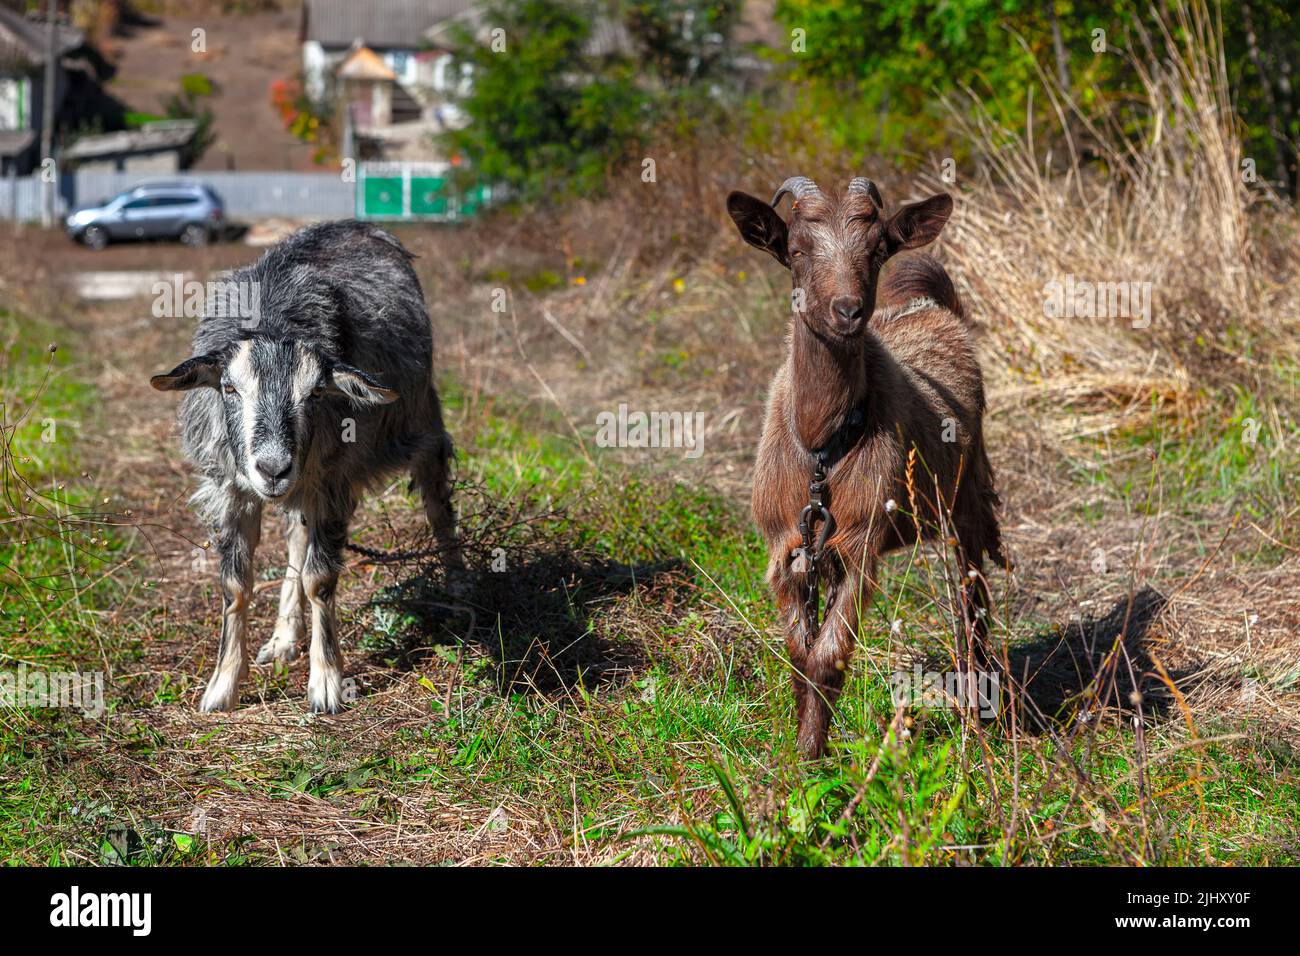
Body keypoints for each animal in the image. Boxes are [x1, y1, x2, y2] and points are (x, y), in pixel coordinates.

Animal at [150, 220, 461, 713]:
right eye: (229, 388)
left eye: (316, 392)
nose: (273, 468)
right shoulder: (228, 487)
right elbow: (235, 584)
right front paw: (221, 687)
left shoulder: (333, 480)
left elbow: (321, 580)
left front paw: (326, 684)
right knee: (297, 537)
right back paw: (282, 638)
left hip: (421, 422)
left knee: (438, 506)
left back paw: (459, 591)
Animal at [727, 176, 1006, 758]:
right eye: (795, 251)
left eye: (877, 250)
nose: (848, 311)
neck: (821, 448)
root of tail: (931, 306)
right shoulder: (788, 543)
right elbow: (800, 654)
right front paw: (803, 750)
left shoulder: (860, 540)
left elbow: (829, 654)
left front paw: (814, 759)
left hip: (966, 496)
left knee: (973, 603)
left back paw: (977, 715)